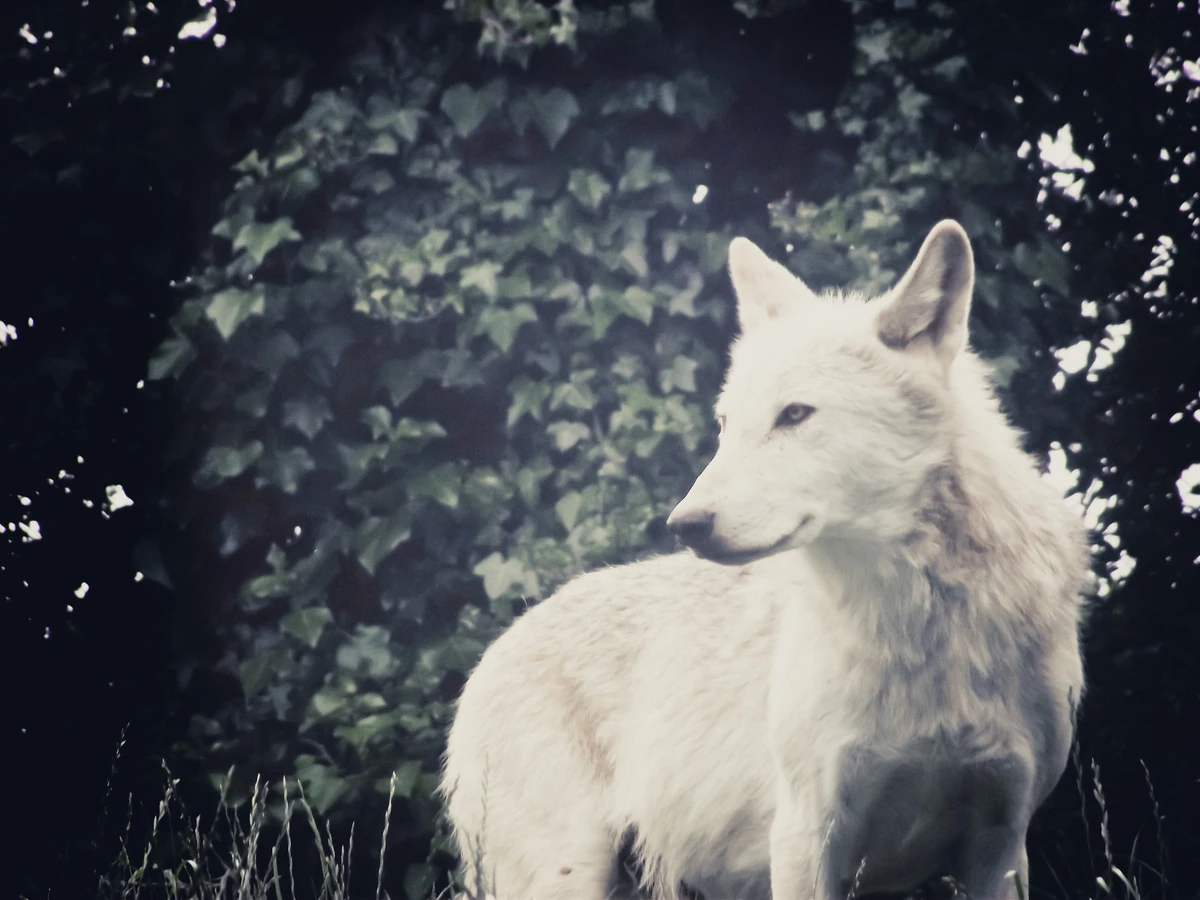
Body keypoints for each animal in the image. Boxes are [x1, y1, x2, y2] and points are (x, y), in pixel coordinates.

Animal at [440, 221, 1090, 900]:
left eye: (795, 414)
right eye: (726, 424)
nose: (685, 525)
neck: (924, 629)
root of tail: (497, 647)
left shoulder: (1001, 845)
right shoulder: (807, 835)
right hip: (566, 876)